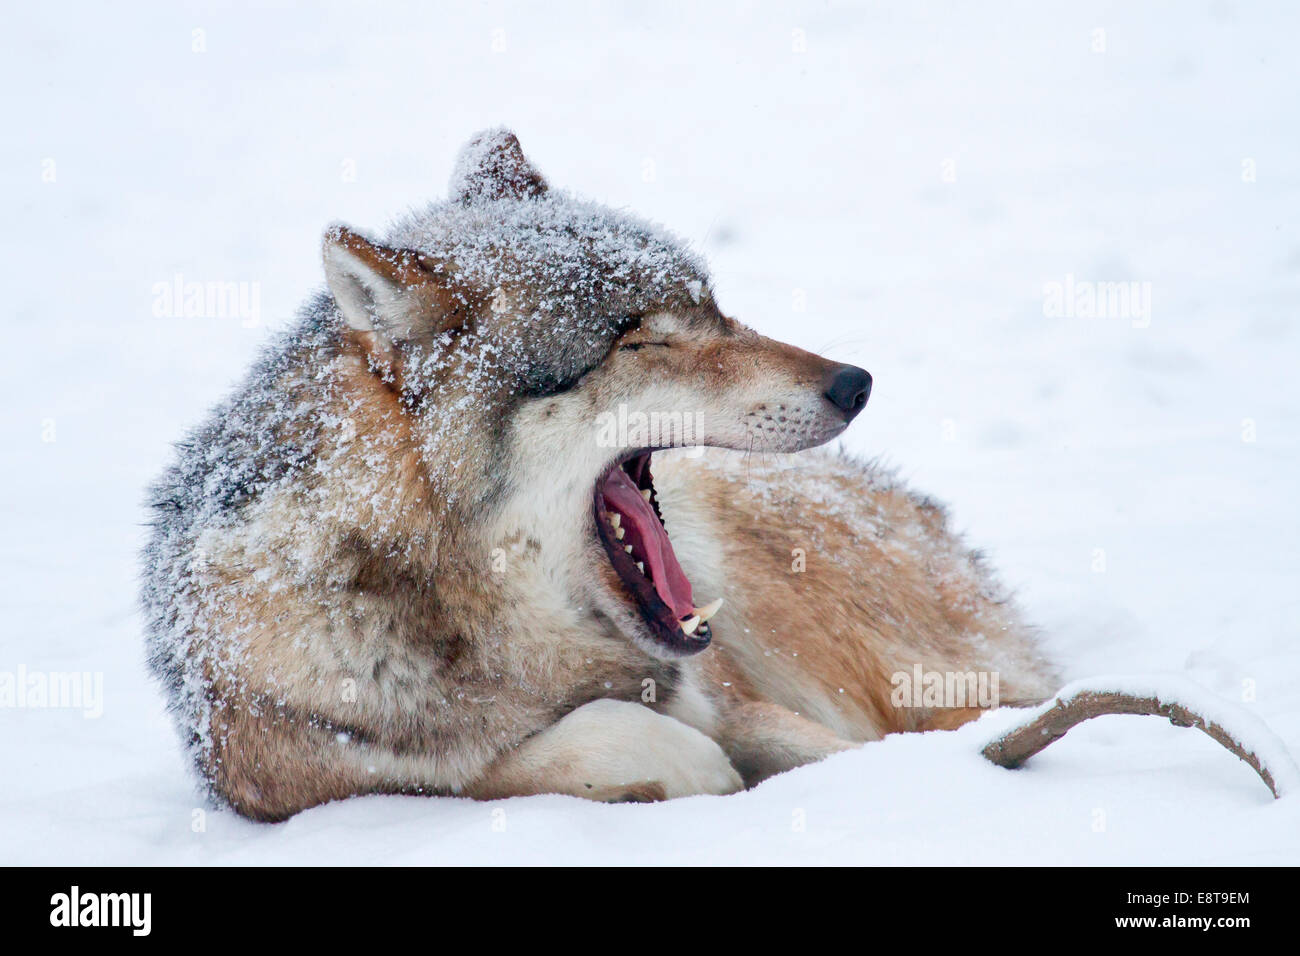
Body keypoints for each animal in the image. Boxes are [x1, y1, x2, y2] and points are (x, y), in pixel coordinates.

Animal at [142, 129, 1056, 821]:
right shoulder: (303, 781)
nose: (853, 384)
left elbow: (834, 753)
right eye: (638, 339)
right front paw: (692, 768)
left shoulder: (734, 697)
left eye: (714, 309)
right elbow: (520, 759)